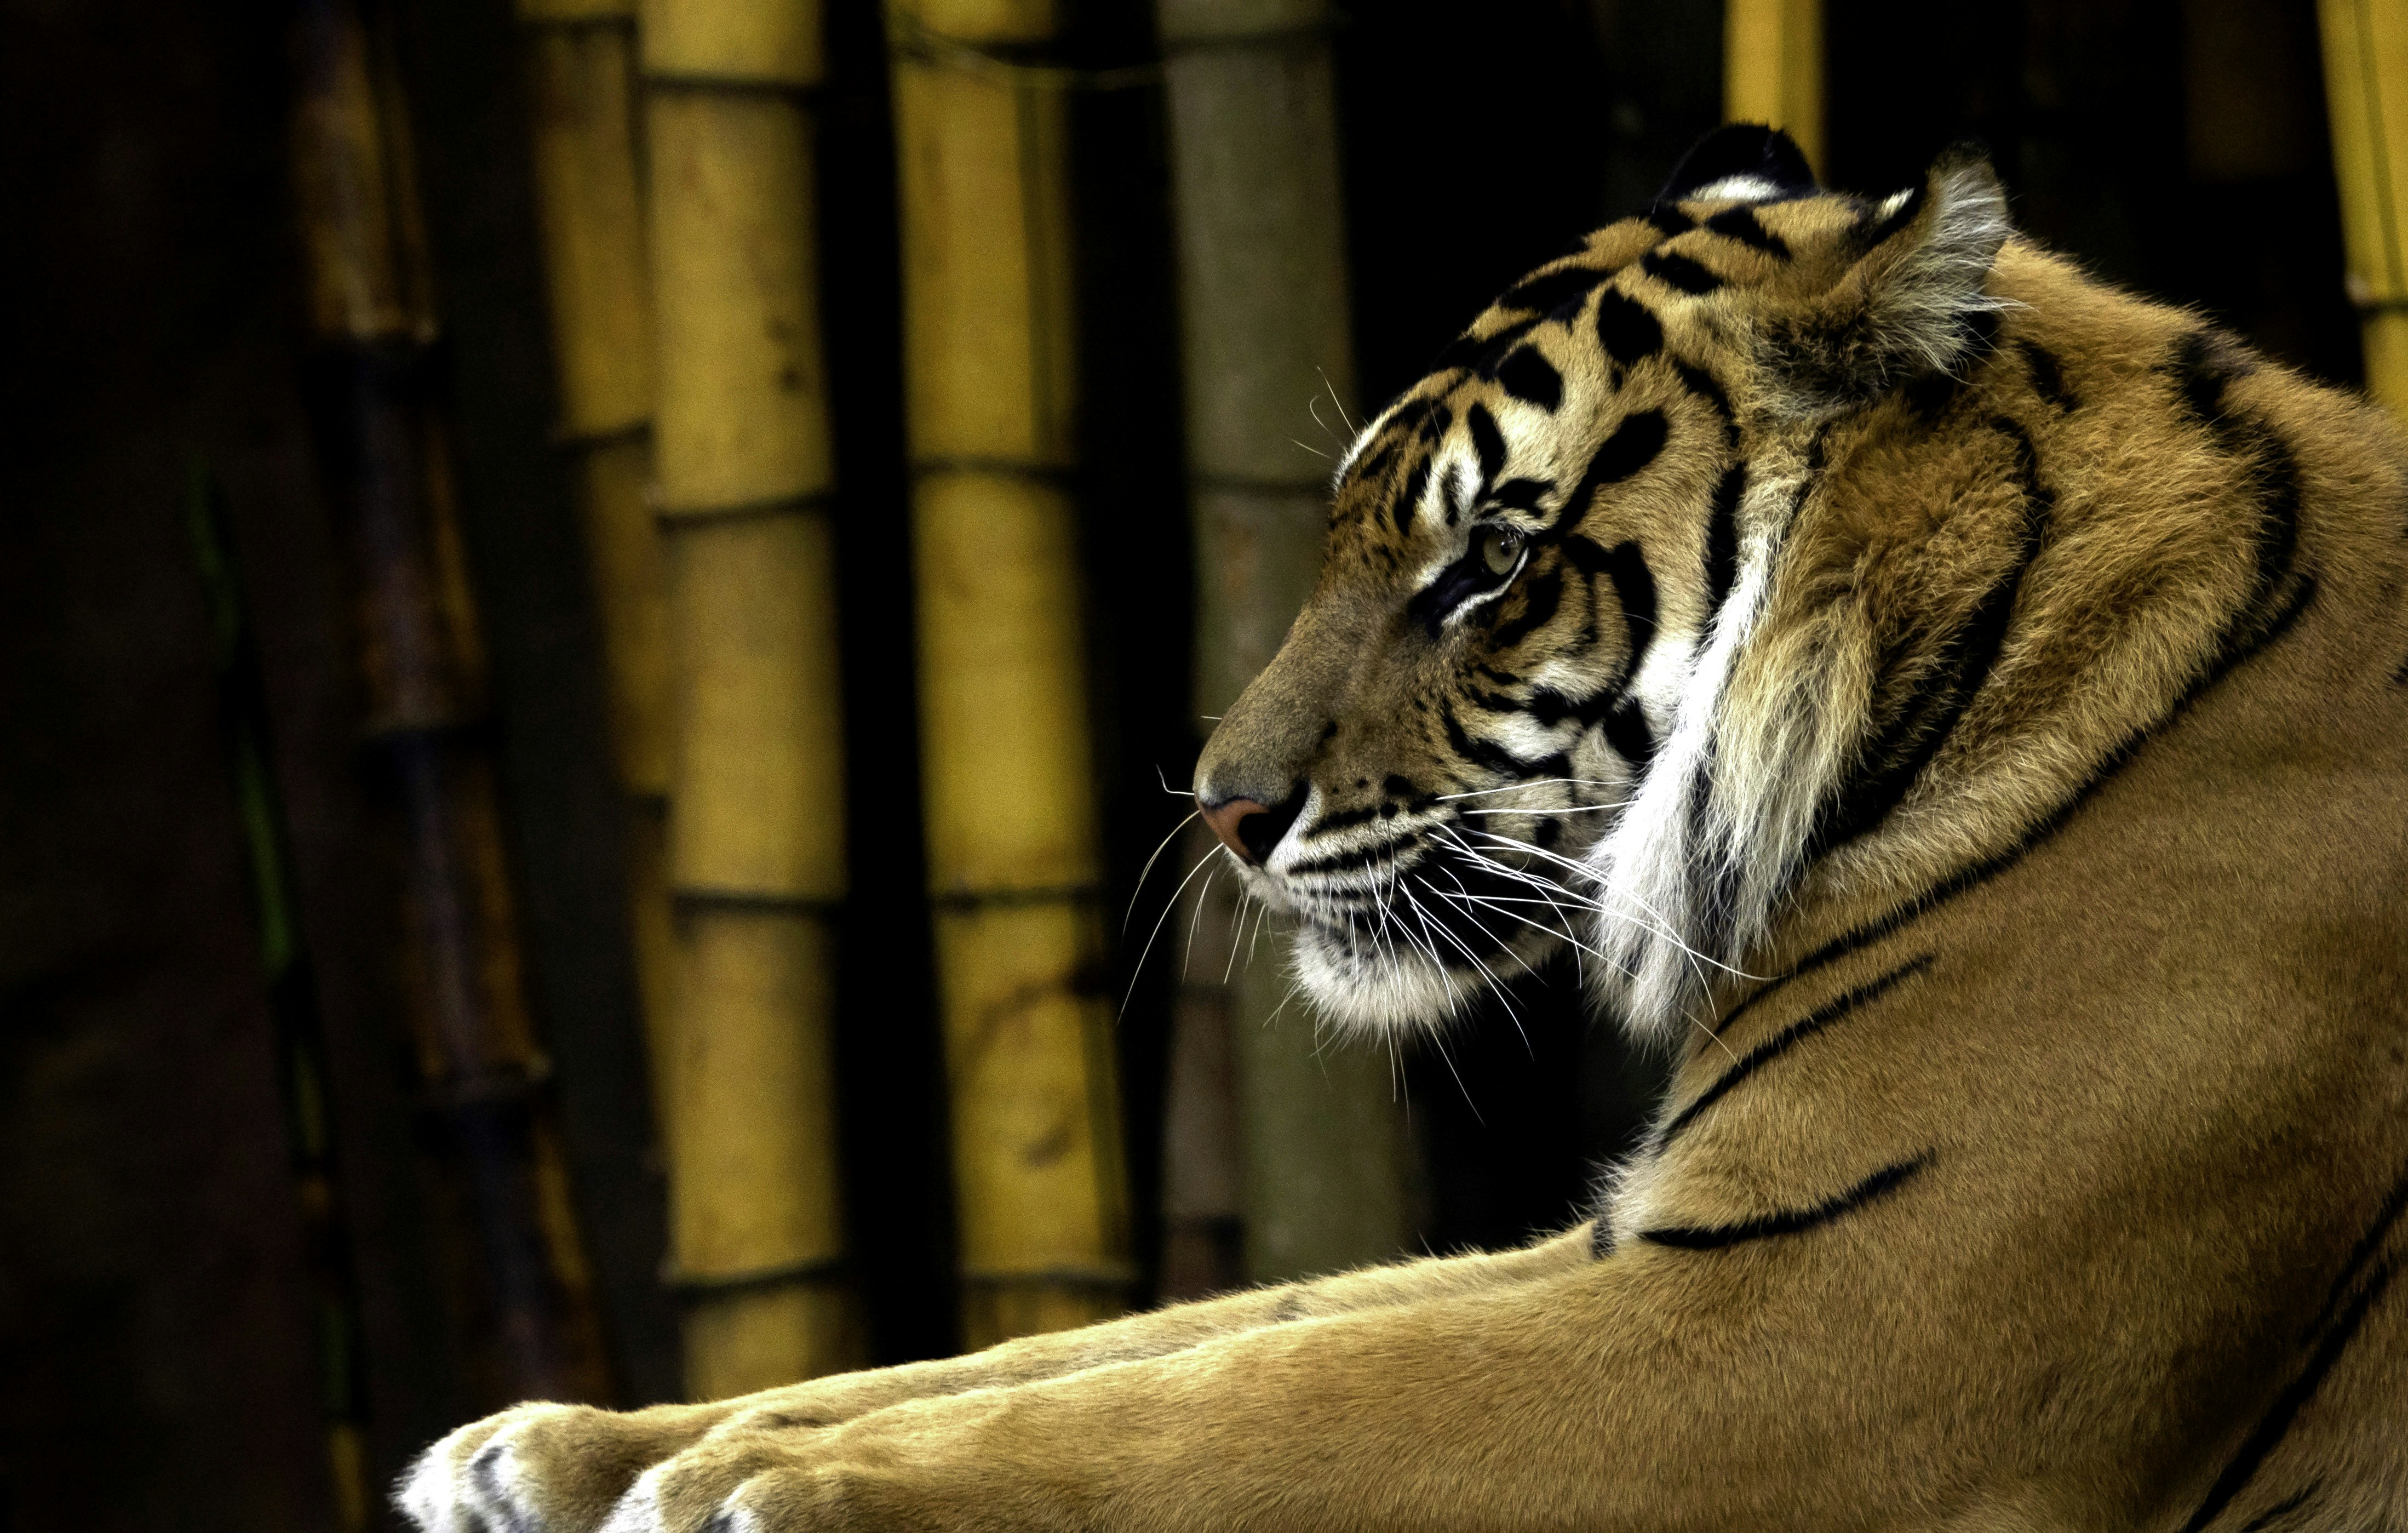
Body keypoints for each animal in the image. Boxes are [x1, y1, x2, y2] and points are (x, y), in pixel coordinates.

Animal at [402, 124, 2408, 1533]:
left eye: (1493, 561)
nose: (1215, 806)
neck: (1986, 666)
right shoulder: (1651, 1241)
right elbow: (1151, 1337)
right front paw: (567, 1446)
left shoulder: (1819, 1326)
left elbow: (1229, 1407)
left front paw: (767, 1484)